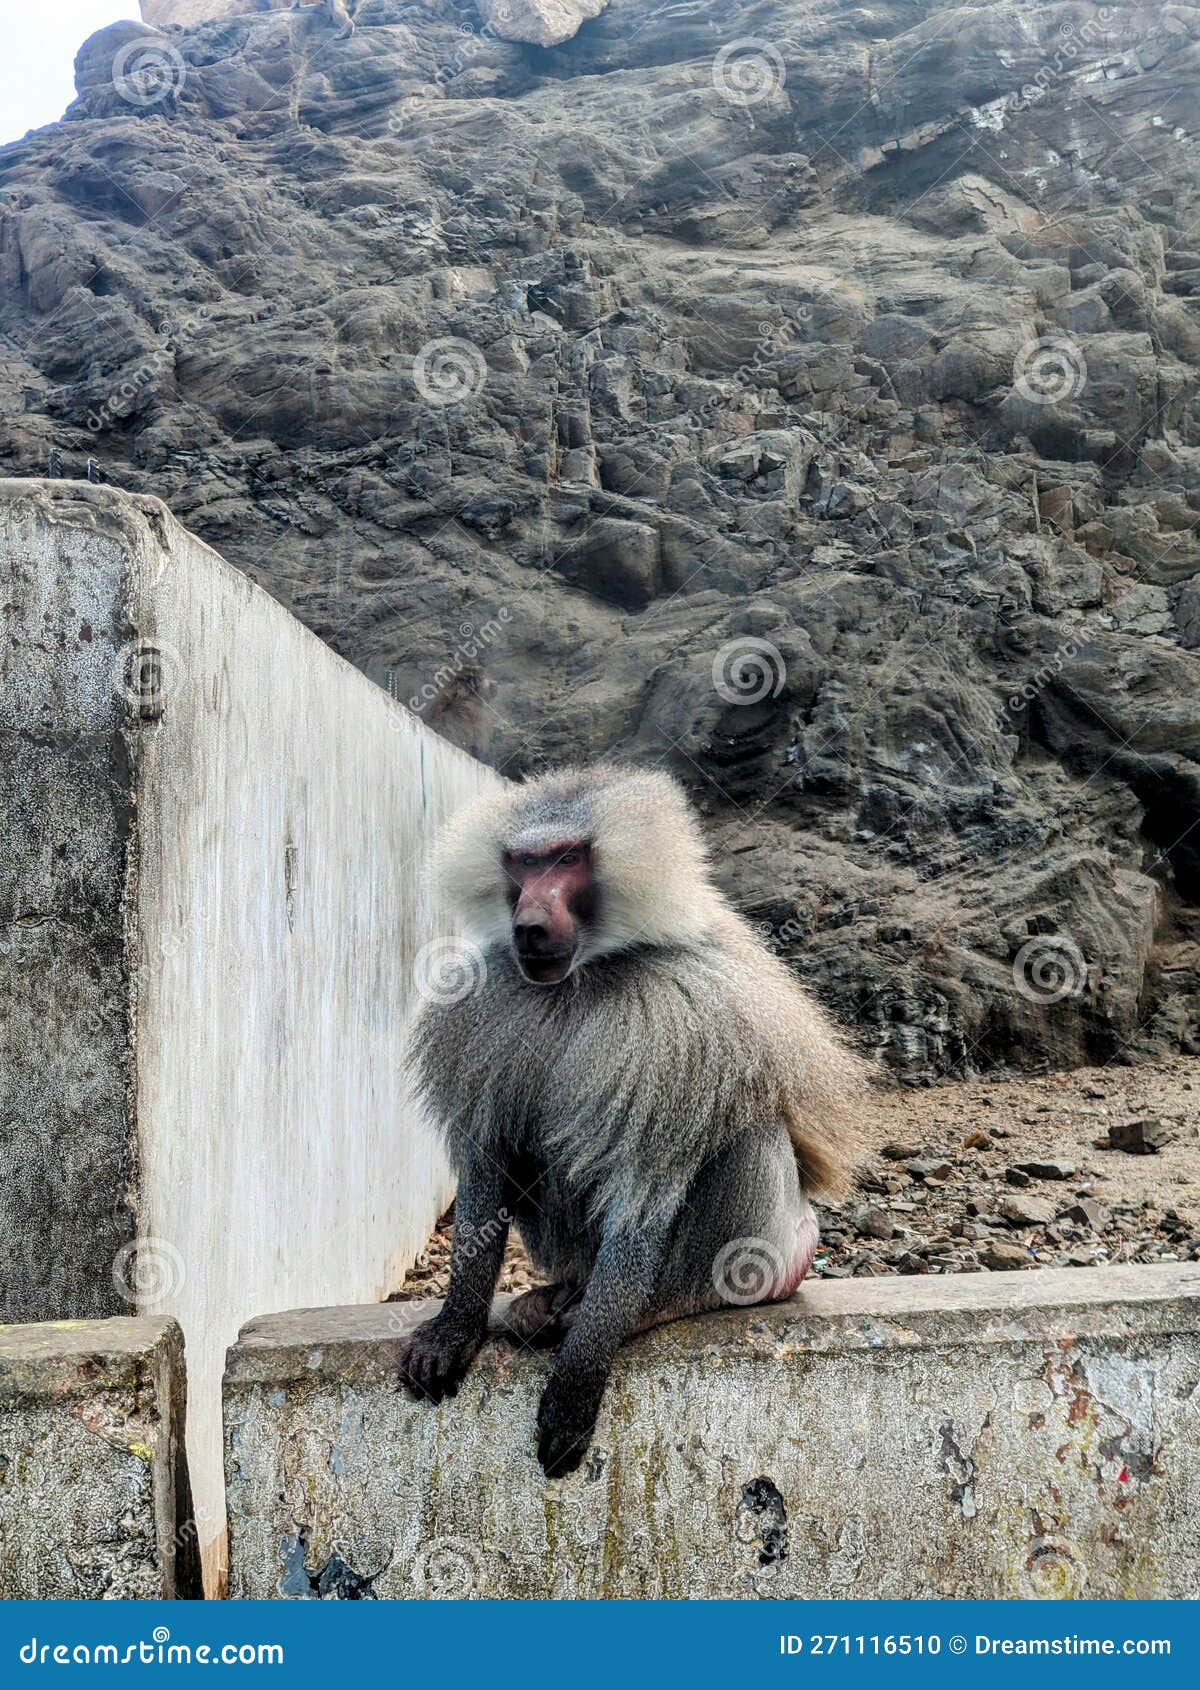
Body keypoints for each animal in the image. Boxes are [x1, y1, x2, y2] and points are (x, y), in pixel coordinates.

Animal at [399, 763, 867, 1477]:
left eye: (567, 860)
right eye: (522, 863)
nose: (528, 923)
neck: (583, 976)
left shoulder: (675, 1025)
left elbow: (647, 1192)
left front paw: (577, 1378)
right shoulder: (488, 1002)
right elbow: (488, 1163)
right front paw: (454, 1327)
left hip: (773, 1250)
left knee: (745, 1132)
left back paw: (654, 1306)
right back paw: (557, 1299)